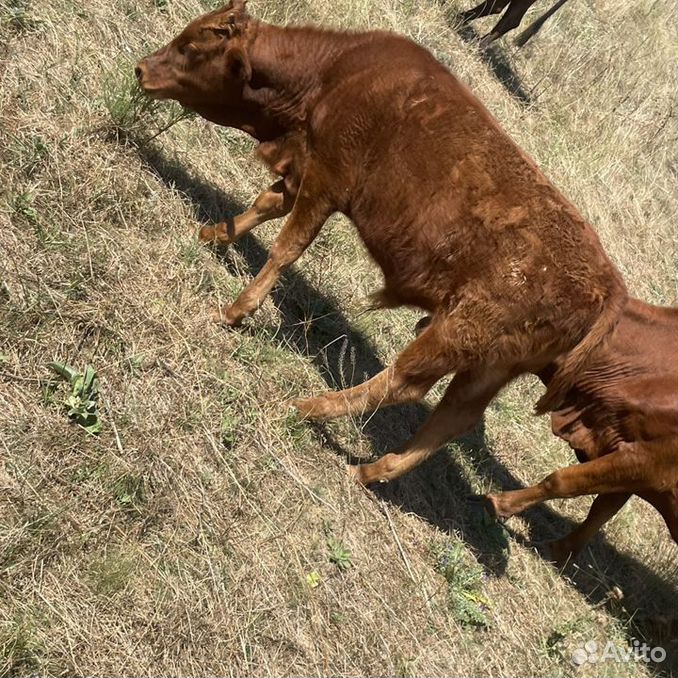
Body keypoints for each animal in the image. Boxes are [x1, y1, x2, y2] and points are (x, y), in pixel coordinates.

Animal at [137, 0, 628, 488]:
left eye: (191, 46)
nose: (141, 69)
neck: (338, 71)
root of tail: (608, 290)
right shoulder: (306, 170)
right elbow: (267, 203)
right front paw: (213, 234)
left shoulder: (326, 180)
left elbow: (287, 245)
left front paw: (235, 309)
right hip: (486, 368)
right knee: (452, 419)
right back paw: (371, 470)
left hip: (451, 336)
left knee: (404, 385)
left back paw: (308, 407)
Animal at [478, 300, 678, 564]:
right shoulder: (630, 462)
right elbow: (602, 510)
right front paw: (562, 551)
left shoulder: (651, 462)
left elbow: (562, 481)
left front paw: (499, 503)